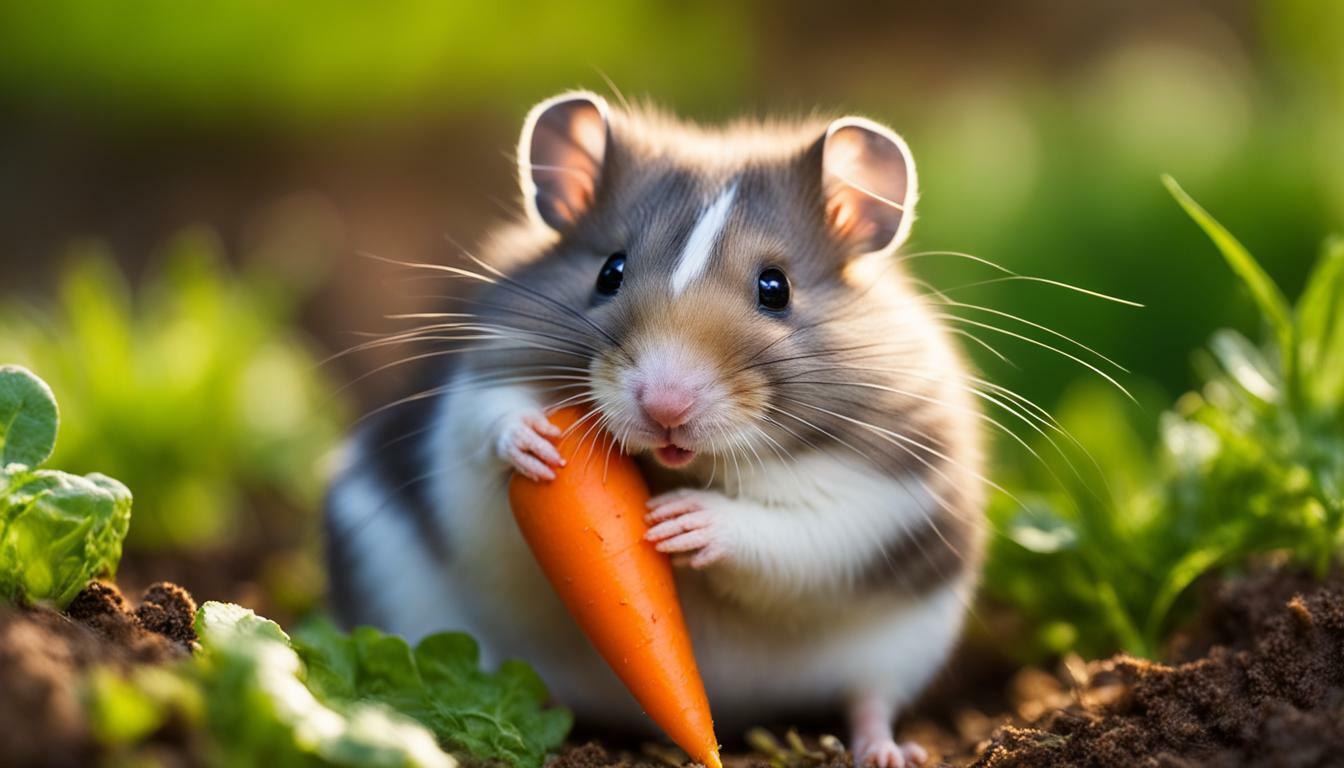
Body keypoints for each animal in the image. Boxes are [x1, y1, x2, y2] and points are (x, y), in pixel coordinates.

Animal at [325, 92, 985, 768]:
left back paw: (889, 752)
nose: (665, 408)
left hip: (904, 646)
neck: (686, 466)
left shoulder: (880, 495)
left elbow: (799, 531)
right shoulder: (474, 380)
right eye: (609, 272)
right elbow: (487, 414)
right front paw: (538, 444)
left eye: (775, 287)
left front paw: (679, 523)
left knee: (871, 697)